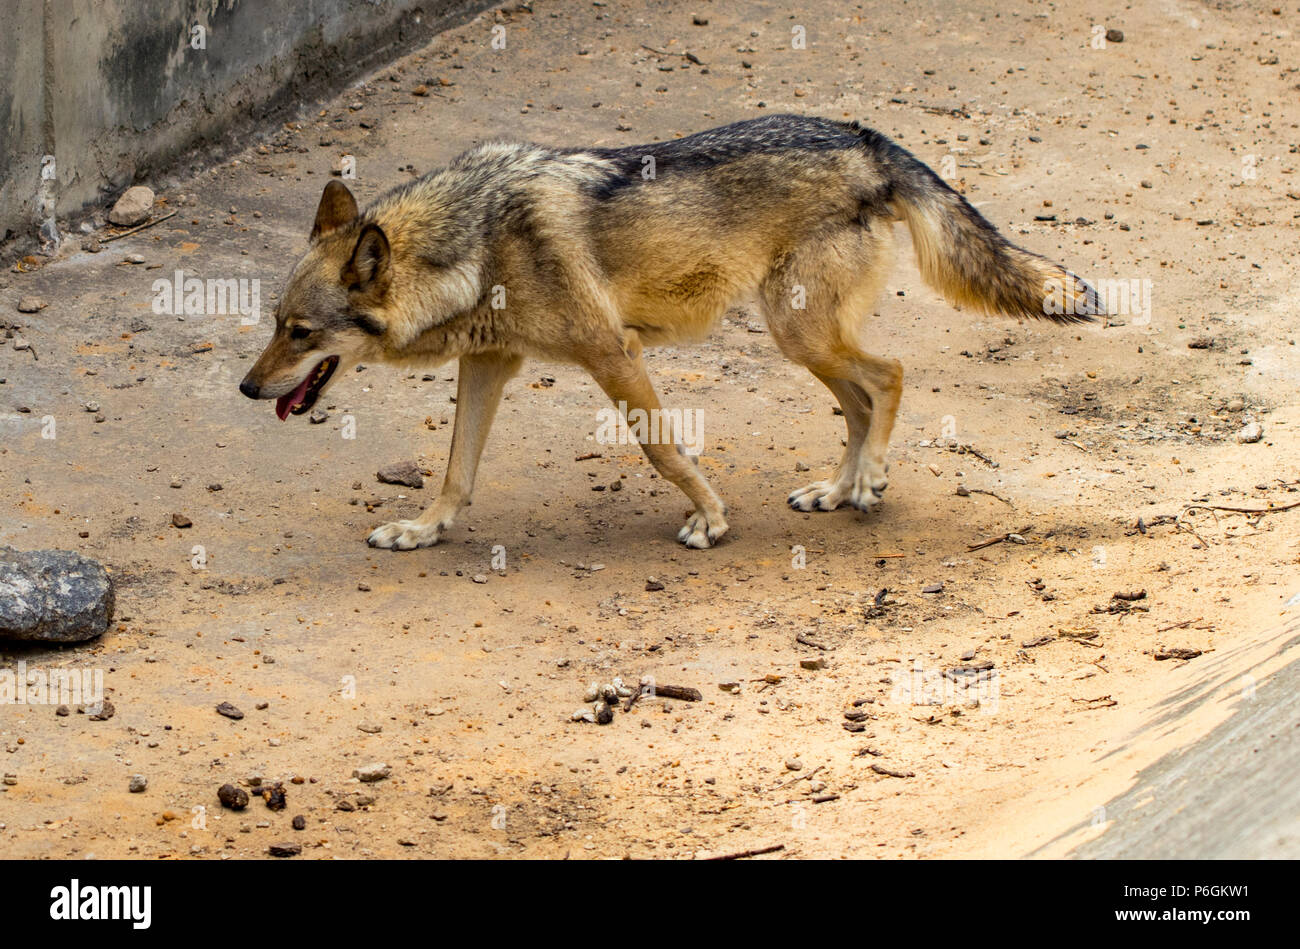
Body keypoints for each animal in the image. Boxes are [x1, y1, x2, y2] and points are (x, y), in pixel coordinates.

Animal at [239, 114, 1101, 550]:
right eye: (276, 326)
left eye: (302, 333)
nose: (247, 387)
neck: (476, 238)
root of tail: (865, 138)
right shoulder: (491, 366)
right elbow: (456, 472)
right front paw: (422, 531)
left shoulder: (612, 353)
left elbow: (663, 449)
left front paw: (710, 517)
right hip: (800, 339)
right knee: (861, 399)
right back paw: (839, 488)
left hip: (799, 334)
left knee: (888, 376)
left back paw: (867, 482)